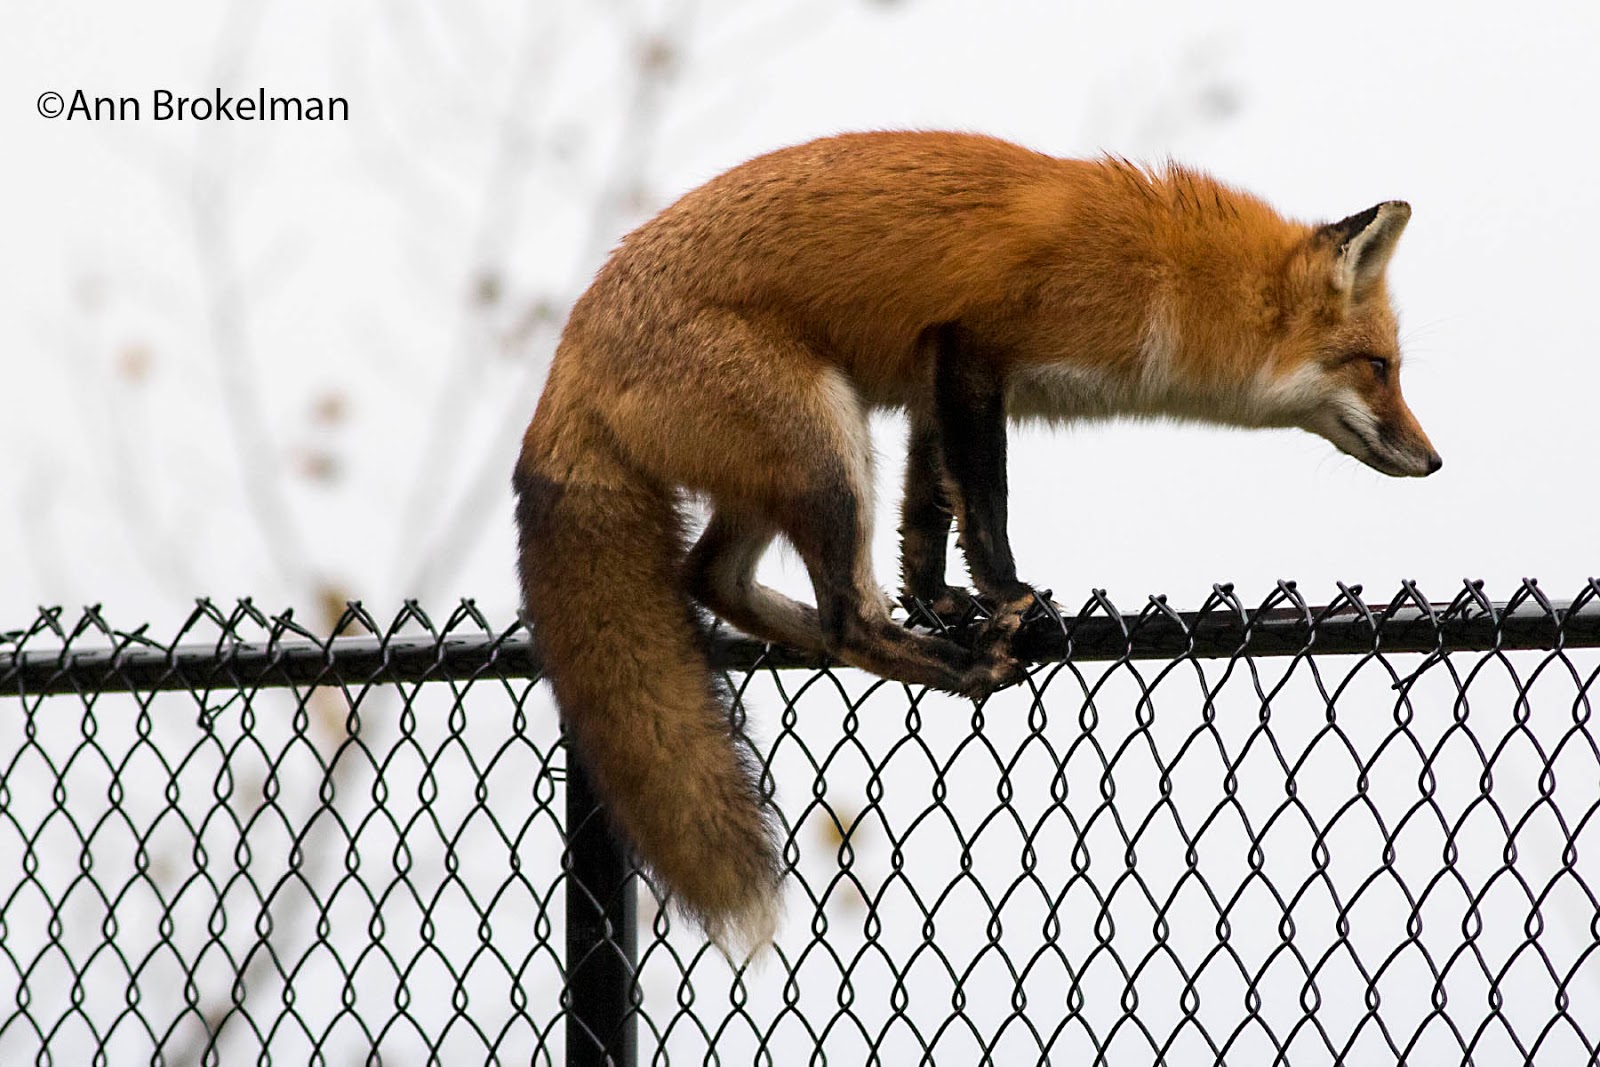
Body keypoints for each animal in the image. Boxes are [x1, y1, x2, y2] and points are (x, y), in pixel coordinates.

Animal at [513, 130, 1439, 956]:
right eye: (1379, 368)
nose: (1434, 460)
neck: (1161, 273)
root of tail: (565, 362)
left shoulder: (937, 384)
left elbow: (927, 515)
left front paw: (940, 596)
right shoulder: (972, 348)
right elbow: (984, 507)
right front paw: (1008, 592)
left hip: (788, 465)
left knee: (717, 580)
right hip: (827, 442)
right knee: (847, 619)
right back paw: (964, 666)